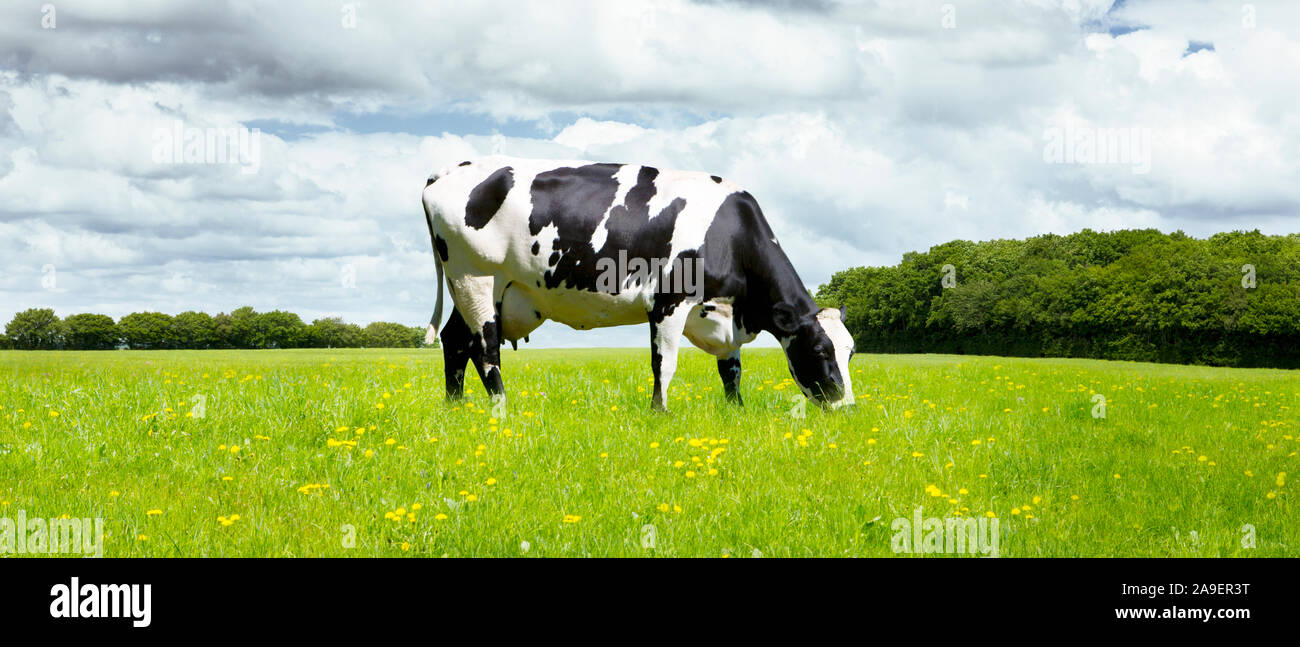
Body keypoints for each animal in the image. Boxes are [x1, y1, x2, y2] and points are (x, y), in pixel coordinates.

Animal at [421, 155, 855, 411]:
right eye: (820, 350)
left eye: (851, 352)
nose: (847, 407)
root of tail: (454, 168)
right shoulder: (668, 301)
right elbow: (665, 363)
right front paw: (659, 412)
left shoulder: (724, 311)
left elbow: (731, 370)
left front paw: (737, 411)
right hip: (476, 278)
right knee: (485, 347)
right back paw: (503, 409)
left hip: (480, 289)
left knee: (455, 340)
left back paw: (455, 407)